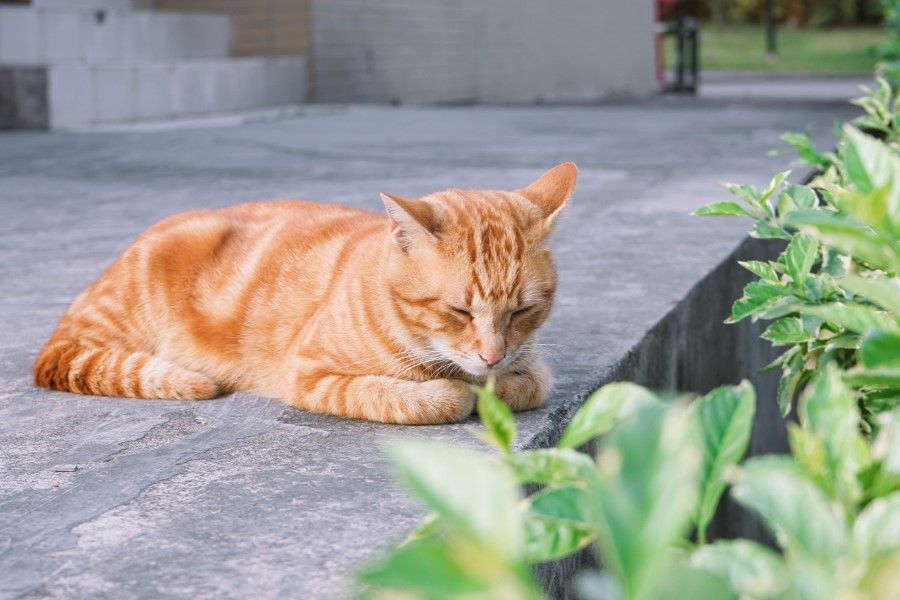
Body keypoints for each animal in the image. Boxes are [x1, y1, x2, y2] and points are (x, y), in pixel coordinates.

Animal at [33, 162, 576, 424]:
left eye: (524, 311)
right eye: (458, 311)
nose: (492, 355)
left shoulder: (533, 363)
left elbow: (529, 382)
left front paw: (492, 384)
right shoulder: (309, 372)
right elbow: (411, 397)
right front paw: (459, 392)